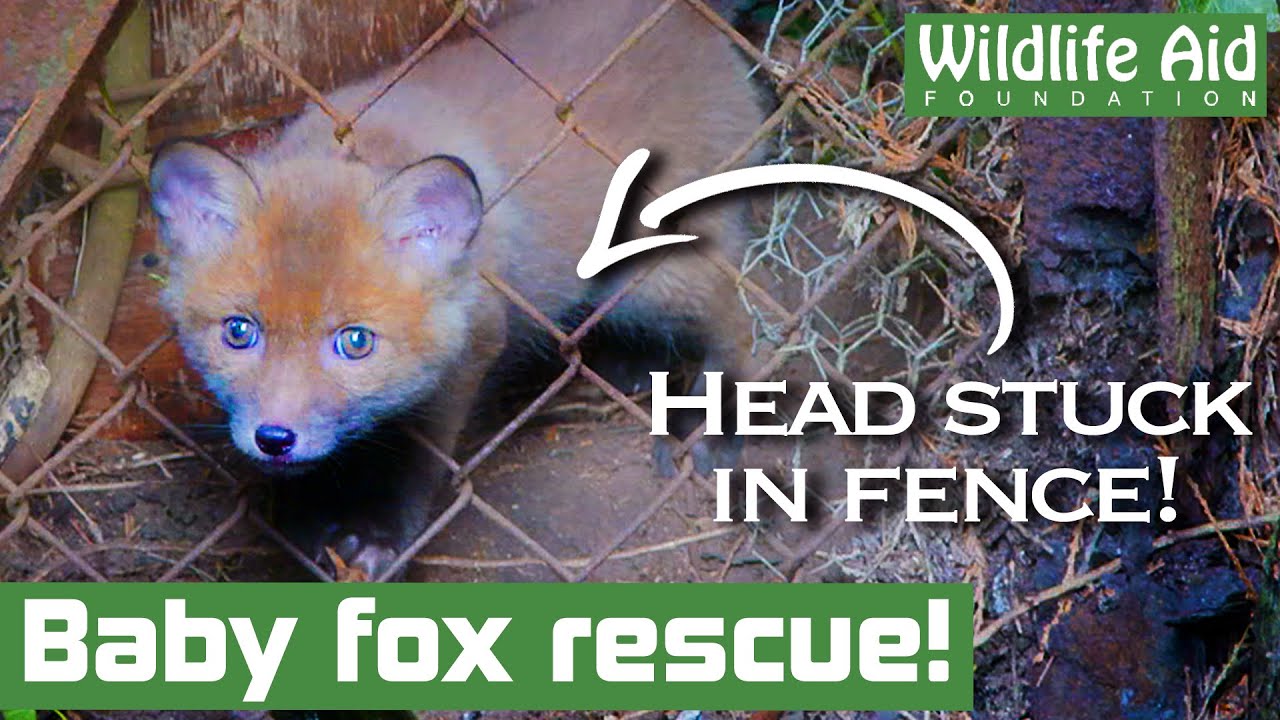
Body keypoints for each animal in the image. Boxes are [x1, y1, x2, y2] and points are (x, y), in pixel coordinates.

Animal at [149, 0, 769, 579]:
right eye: (239, 332)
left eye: (355, 342)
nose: (275, 438)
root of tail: (685, 17)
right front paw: (309, 521)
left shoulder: (468, 356)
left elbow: (416, 470)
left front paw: (380, 540)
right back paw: (635, 368)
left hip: (655, 282)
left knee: (740, 323)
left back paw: (717, 428)